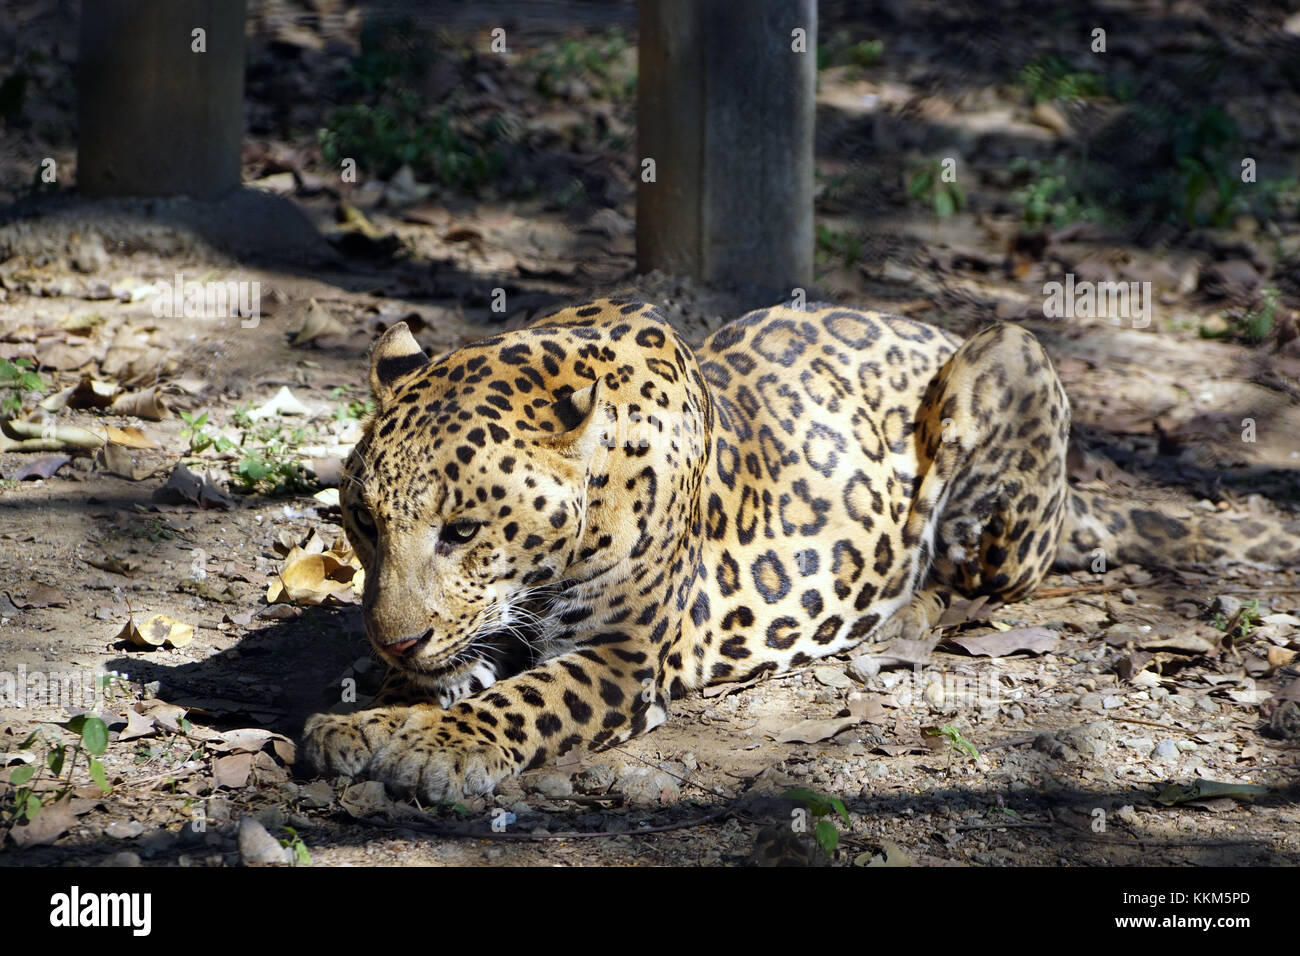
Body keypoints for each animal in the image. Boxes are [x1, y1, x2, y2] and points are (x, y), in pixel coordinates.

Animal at [301, 297, 1298, 801]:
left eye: (463, 530)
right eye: (362, 522)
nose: (392, 636)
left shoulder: (623, 656)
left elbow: (525, 699)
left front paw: (439, 747)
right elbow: (439, 673)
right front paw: (371, 720)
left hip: (1007, 361)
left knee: (978, 579)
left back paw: (905, 618)